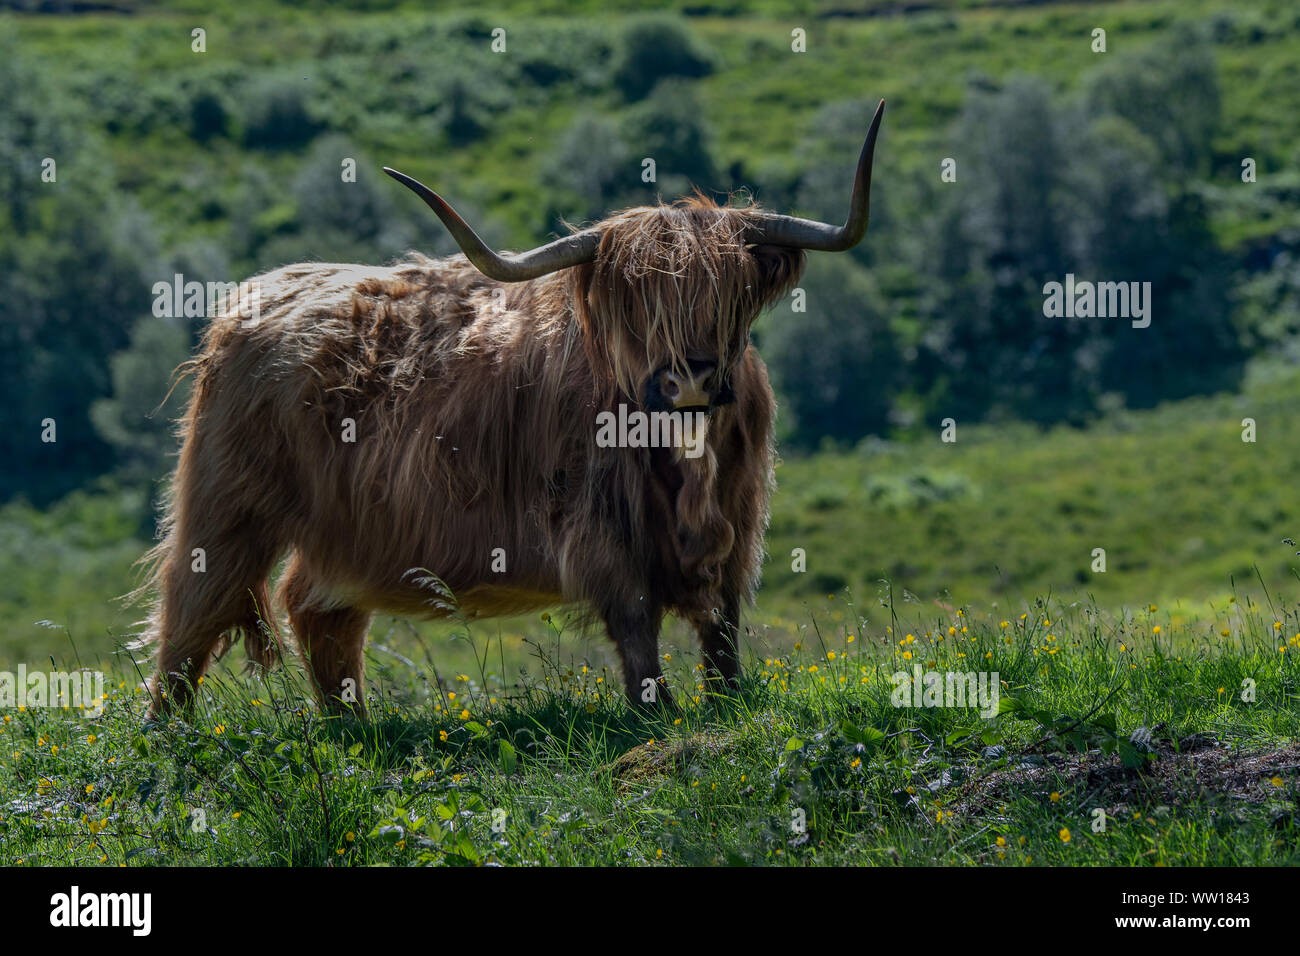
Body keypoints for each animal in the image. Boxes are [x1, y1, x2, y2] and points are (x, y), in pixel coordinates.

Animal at [140, 101, 885, 719]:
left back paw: (353, 729)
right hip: (226, 502)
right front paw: (659, 714)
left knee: (318, 610)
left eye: (731, 291)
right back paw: (170, 737)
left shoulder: (737, 525)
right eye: (635, 301)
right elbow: (637, 628)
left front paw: (728, 703)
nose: (690, 378)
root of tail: (257, 295)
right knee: (190, 614)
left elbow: (723, 629)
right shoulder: (602, 535)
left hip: (345, 533)